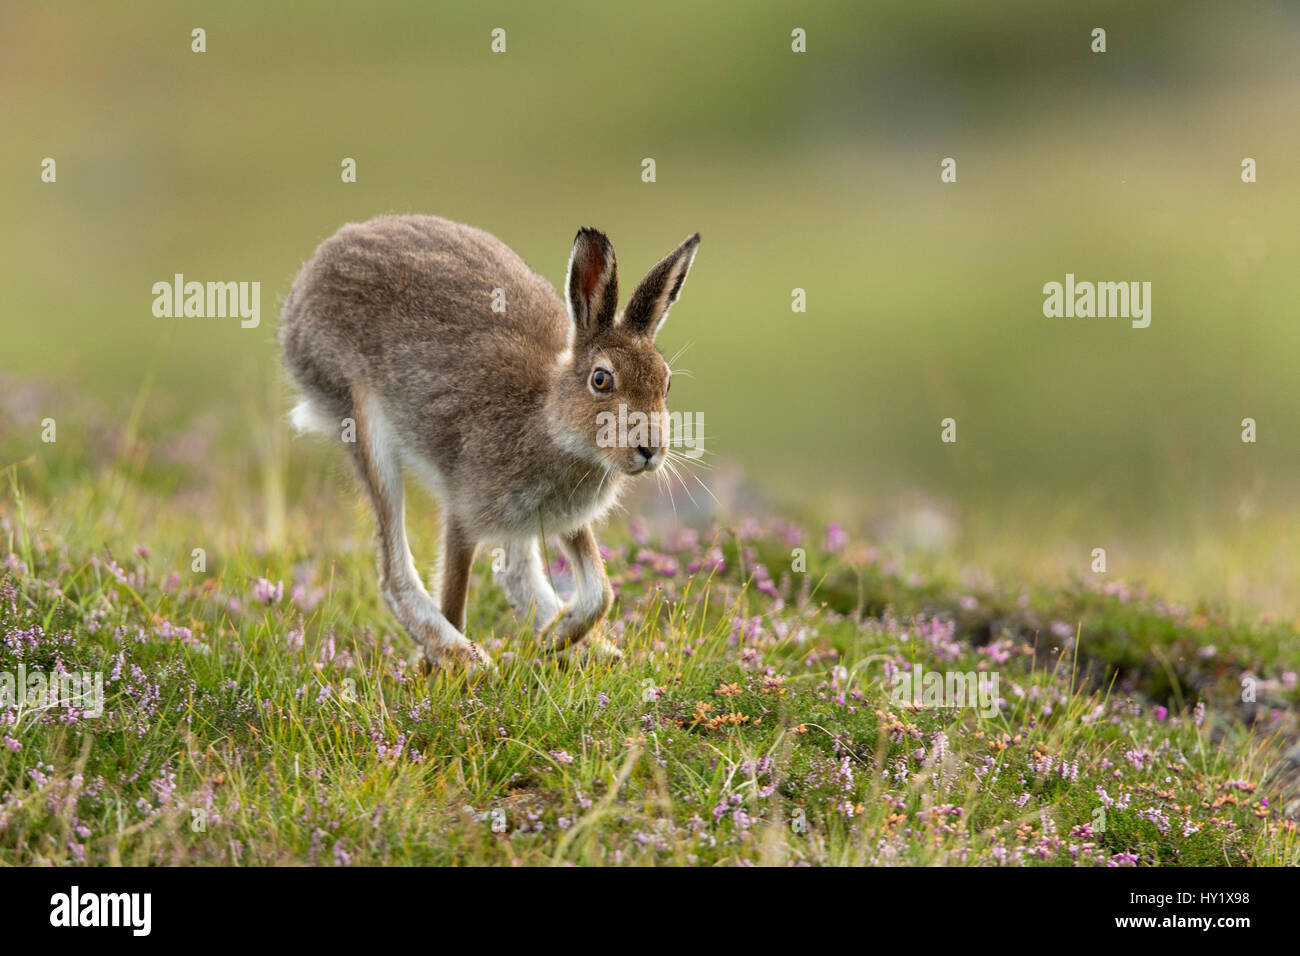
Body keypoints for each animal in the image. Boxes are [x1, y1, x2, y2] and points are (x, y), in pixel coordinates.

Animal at [278, 215, 700, 671]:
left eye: (665, 383)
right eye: (601, 379)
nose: (650, 450)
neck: (550, 418)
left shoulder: (565, 519)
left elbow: (599, 593)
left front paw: (558, 636)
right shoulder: (464, 511)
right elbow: (453, 597)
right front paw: (446, 673)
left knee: (515, 571)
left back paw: (579, 647)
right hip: (364, 422)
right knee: (394, 571)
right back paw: (462, 655)